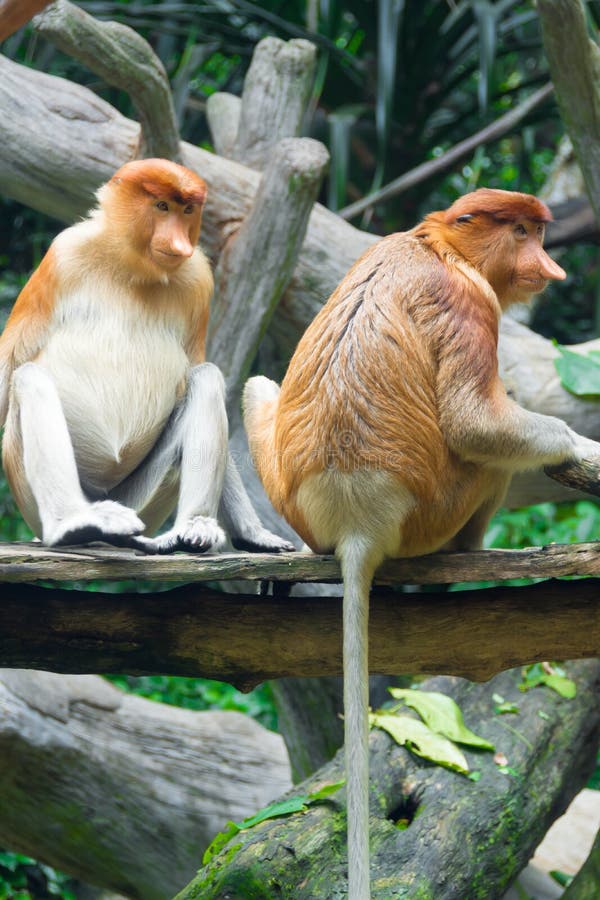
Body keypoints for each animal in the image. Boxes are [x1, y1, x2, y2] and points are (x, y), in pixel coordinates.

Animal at [0, 157, 294, 555]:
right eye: (162, 206)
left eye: (187, 211)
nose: (180, 243)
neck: (132, 269)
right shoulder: (62, 256)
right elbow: (10, 362)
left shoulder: (198, 277)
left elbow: (195, 367)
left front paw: (254, 533)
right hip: (31, 496)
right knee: (29, 378)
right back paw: (74, 525)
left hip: (143, 501)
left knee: (205, 377)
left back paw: (193, 529)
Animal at [242, 188, 600, 899]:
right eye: (523, 232)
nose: (550, 269)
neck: (437, 246)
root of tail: (356, 522)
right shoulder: (471, 302)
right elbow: (474, 422)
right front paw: (580, 444)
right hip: (440, 507)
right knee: (487, 458)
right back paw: (462, 555)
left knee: (256, 387)